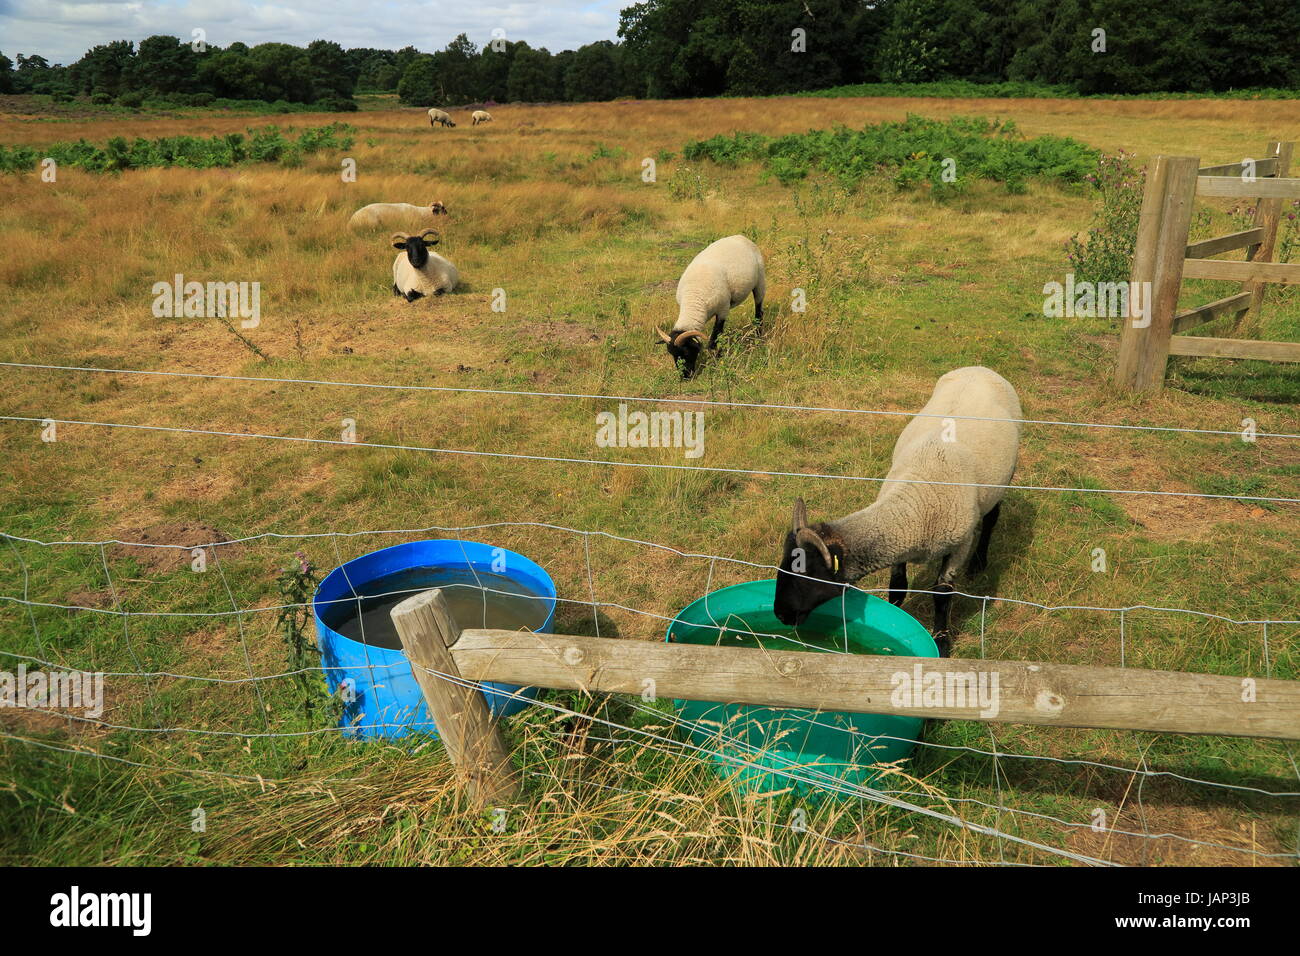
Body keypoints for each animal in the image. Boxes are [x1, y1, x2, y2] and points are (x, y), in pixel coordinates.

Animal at [656, 234, 765, 379]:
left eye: (686, 352)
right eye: (671, 353)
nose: (685, 376)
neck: (694, 297)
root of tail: (740, 236)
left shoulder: (723, 310)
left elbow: (715, 336)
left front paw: (715, 357)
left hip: (760, 281)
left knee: (759, 309)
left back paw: (758, 334)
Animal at [773, 366, 1022, 656]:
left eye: (804, 572)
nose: (780, 614)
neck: (917, 503)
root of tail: (980, 368)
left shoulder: (959, 546)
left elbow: (942, 593)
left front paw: (942, 641)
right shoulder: (899, 544)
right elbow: (898, 587)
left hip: (1004, 479)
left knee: (992, 518)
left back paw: (979, 562)